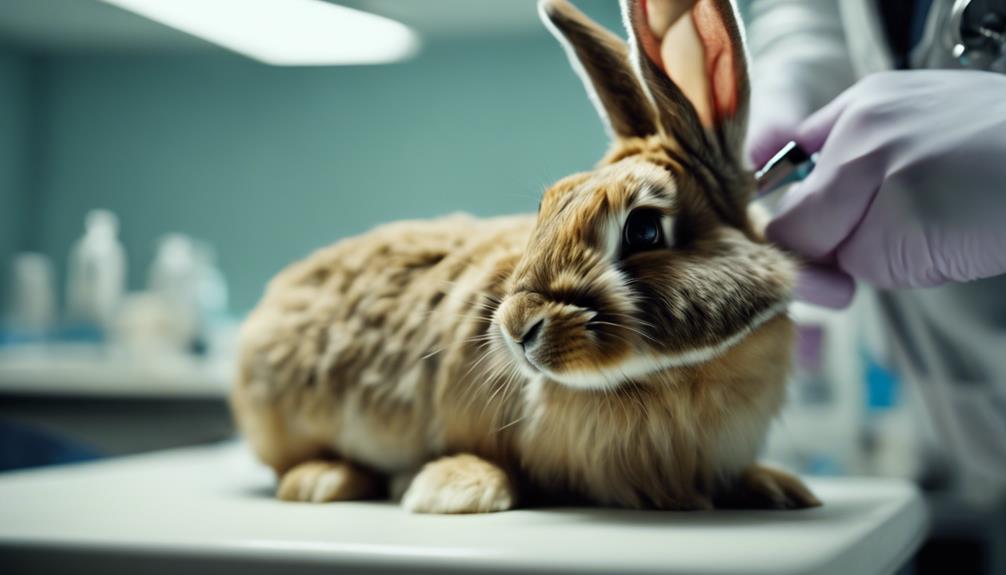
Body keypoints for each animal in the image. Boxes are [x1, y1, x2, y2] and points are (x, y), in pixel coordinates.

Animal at [231, 0, 821, 513]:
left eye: (646, 229)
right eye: (548, 204)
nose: (518, 327)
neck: (663, 376)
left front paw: (776, 487)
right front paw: (453, 489)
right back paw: (323, 480)